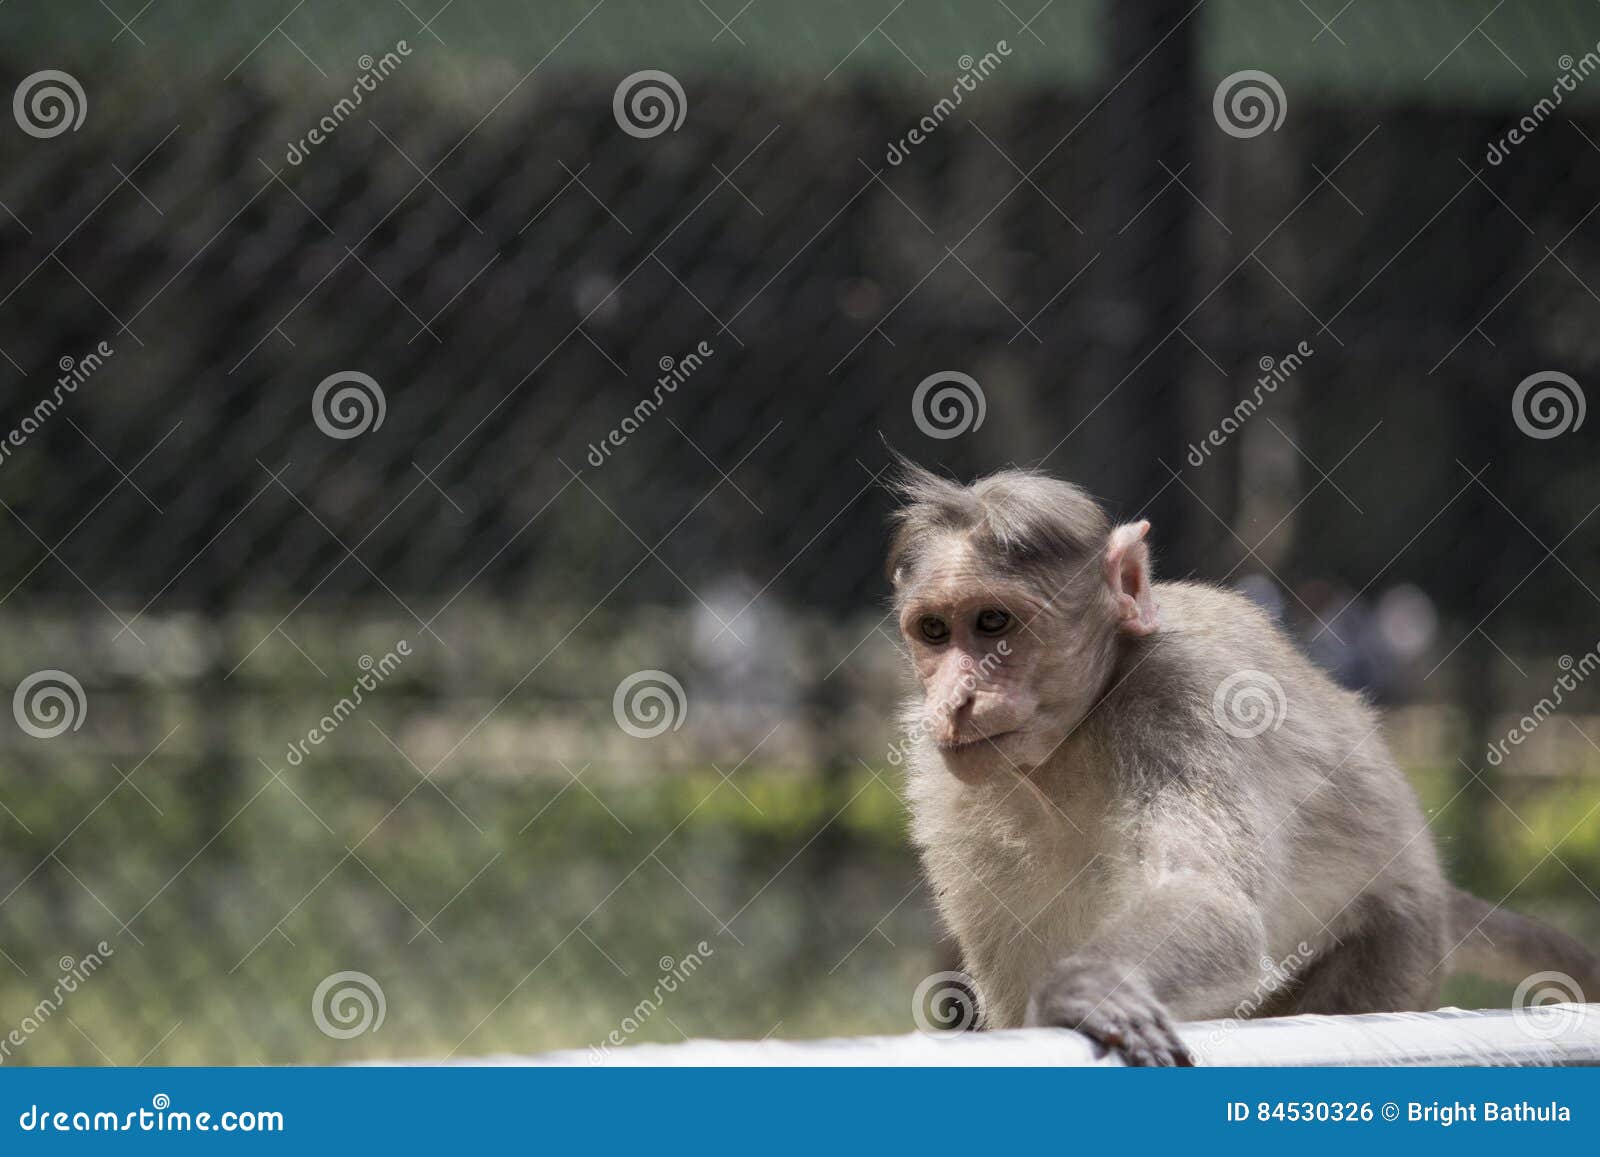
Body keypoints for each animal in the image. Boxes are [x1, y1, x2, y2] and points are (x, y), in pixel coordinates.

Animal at [885, 460, 1600, 1066]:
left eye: (994, 622)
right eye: (935, 631)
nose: (956, 697)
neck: (1073, 735)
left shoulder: (1181, 703)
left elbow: (1211, 903)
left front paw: (1085, 989)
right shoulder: (939, 780)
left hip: (1402, 936)